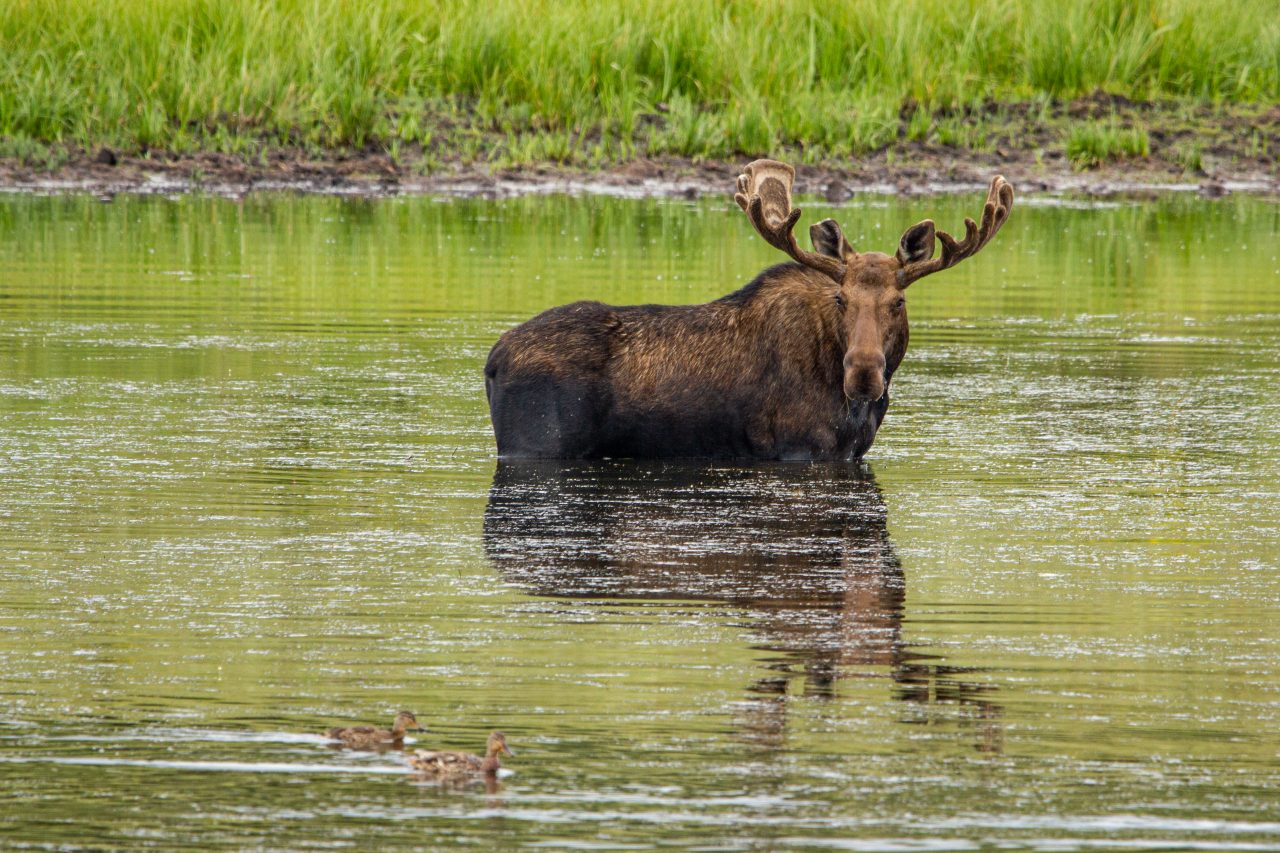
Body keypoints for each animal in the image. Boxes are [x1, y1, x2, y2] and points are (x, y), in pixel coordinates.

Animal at [484, 159, 1014, 460]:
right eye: (841, 298)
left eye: (898, 302)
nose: (864, 374)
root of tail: (491, 362)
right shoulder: (802, 449)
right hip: (534, 445)